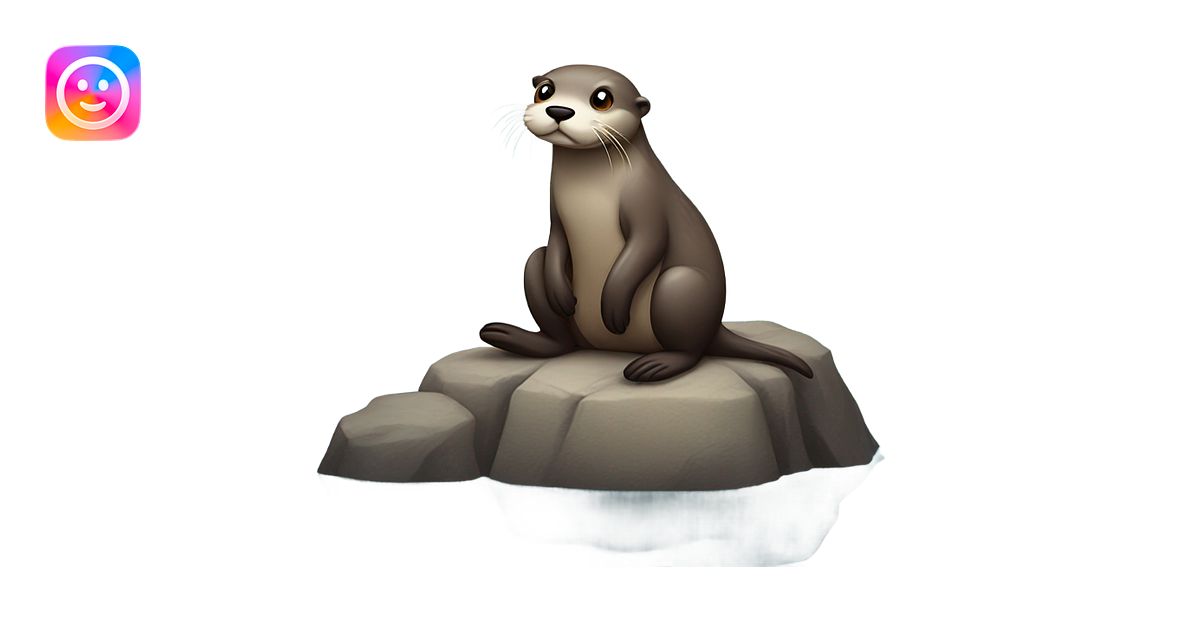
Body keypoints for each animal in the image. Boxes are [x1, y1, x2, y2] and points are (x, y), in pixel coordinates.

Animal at [480, 64, 814, 383]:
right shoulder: (555, 212)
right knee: (543, 280)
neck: (587, 189)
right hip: (563, 308)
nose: (559, 110)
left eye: (602, 98)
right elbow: (556, 241)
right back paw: (508, 336)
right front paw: (560, 295)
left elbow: (647, 243)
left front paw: (613, 307)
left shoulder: (647, 200)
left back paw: (655, 366)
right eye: (544, 91)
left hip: (680, 285)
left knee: (691, 348)